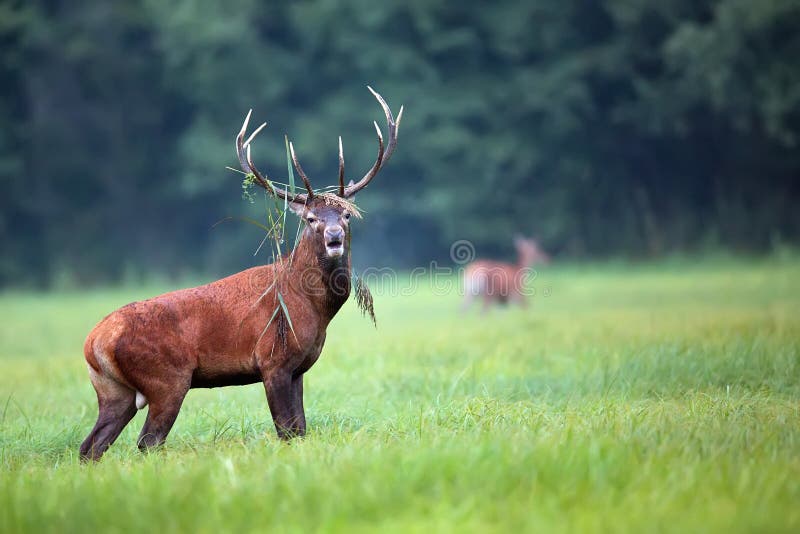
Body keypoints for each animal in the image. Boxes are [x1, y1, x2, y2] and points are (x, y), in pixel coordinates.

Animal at [78, 87, 402, 461]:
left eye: (347, 215)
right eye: (311, 219)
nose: (334, 237)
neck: (313, 307)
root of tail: (94, 341)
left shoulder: (298, 368)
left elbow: (301, 430)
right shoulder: (272, 361)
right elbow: (286, 431)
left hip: (112, 390)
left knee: (90, 446)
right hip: (168, 380)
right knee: (148, 442)